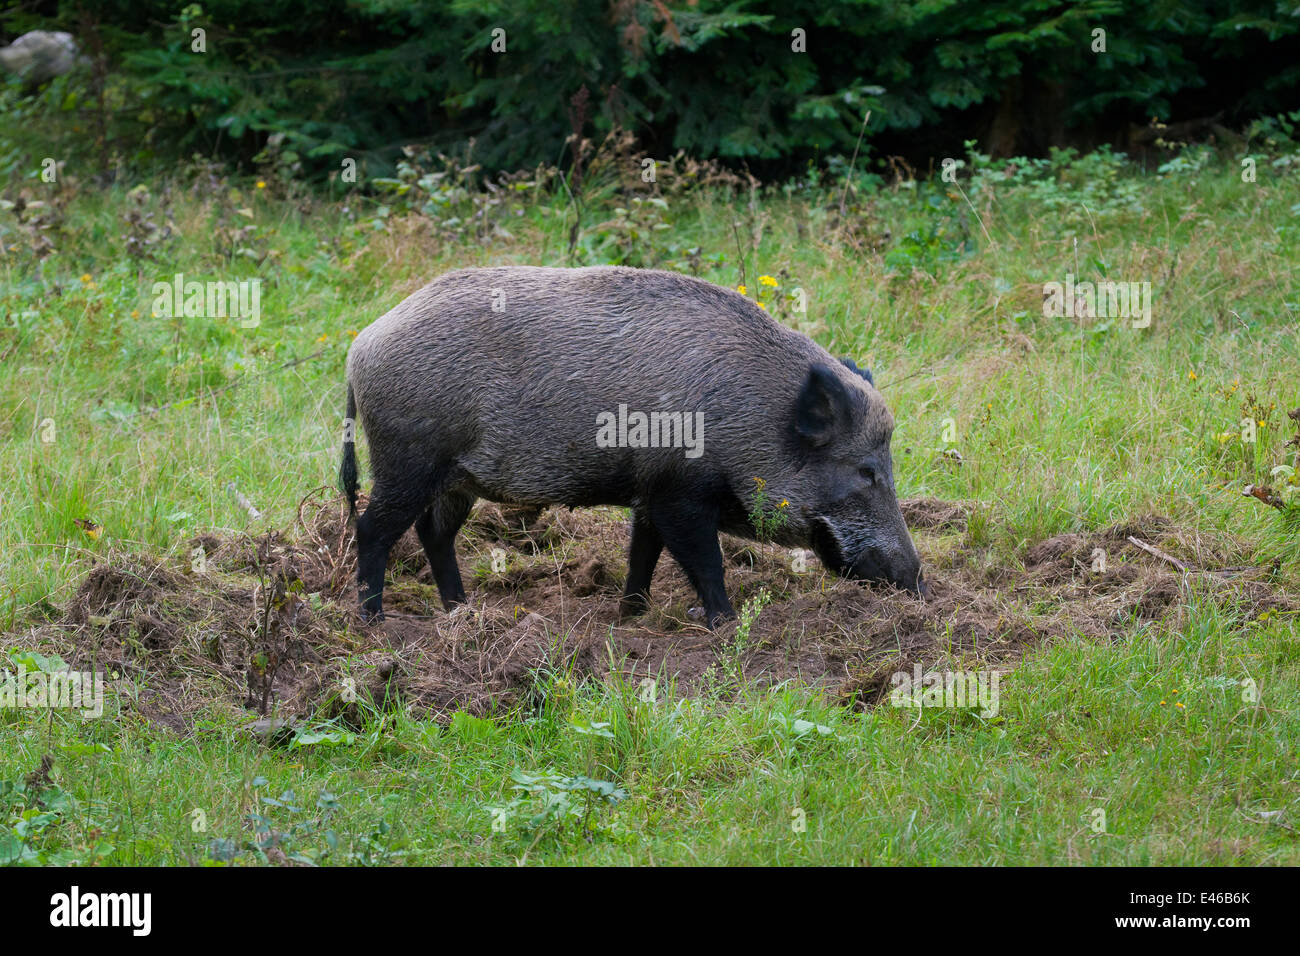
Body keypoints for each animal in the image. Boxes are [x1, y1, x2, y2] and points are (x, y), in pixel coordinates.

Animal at [339, 266, 924, 627]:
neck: (753, 414)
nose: (917, 582)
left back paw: (461, 612)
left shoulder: (650, 492)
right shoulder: (679, 492)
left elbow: (644, 552)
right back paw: (374, 621)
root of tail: (360, 346)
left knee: (433, 533)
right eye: (866, 470)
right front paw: (727, 624)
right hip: (407, 460)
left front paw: (632, 615)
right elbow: (704, 561)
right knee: (372, 529)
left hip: (456, 479)